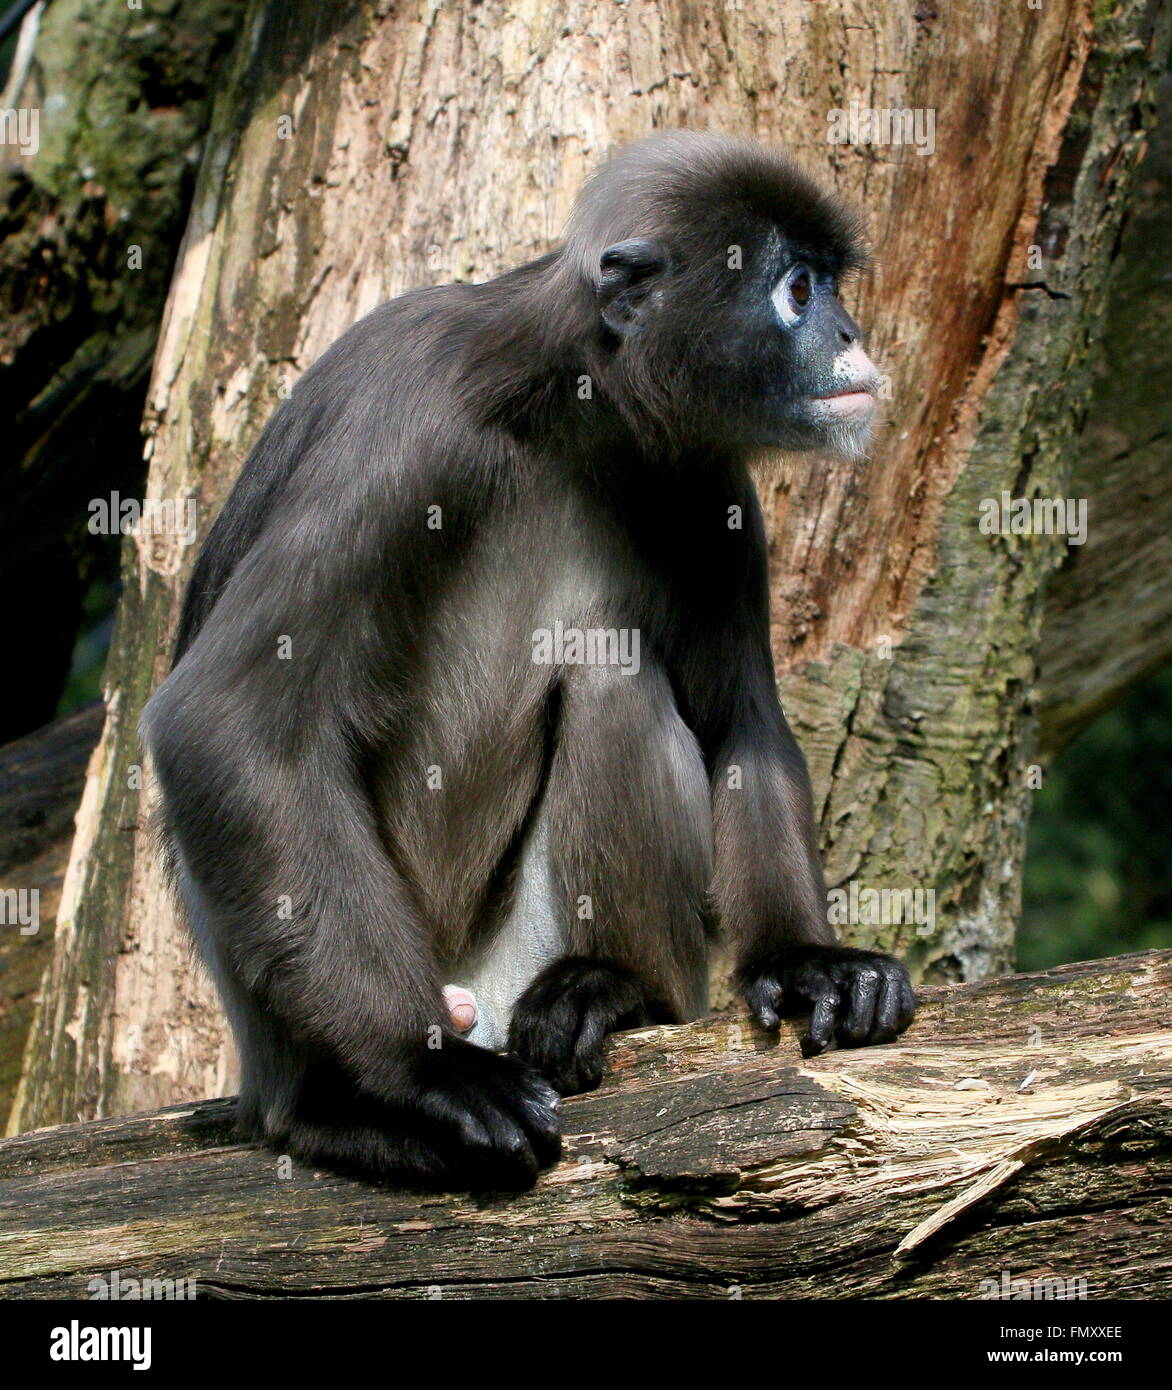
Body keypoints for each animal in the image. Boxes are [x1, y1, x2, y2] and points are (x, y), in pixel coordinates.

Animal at [142, 130, 916, 1191]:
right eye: (797, 289)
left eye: (831, 284)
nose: (849, 332)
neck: (569, 407)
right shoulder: (406, 424)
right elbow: (224, 718)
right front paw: (417, 1080)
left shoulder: (703, 475)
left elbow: (740, 729)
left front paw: (805, 960)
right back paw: (347, 1108)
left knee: (613, 674)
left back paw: (611, 989)